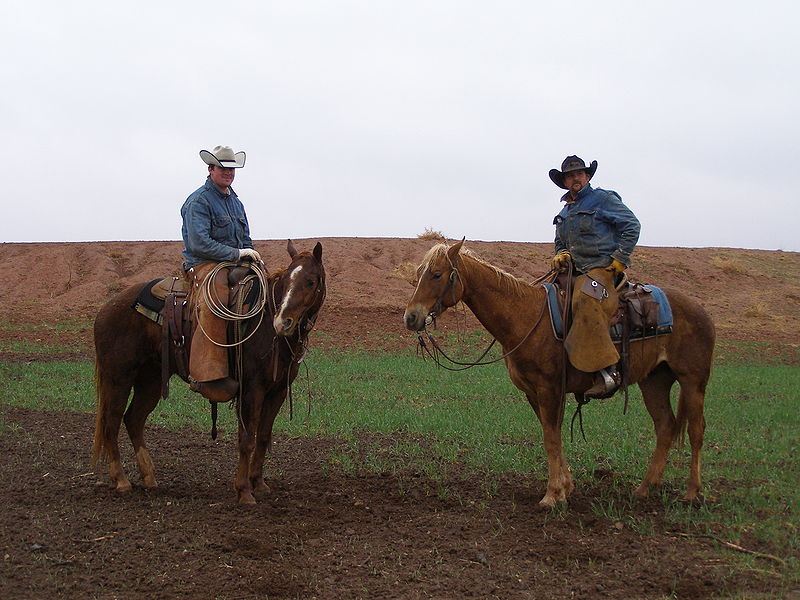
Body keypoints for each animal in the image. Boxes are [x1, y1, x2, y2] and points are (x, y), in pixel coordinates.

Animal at [92, 240, 326, 504]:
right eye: (286, 281)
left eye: (311, 281)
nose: (282, 322)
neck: (266, 326)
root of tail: (106, 309)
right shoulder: (252, 389)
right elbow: (247, 439)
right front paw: (244, 491)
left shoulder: (277, 391)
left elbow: (264, 437)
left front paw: (259, 485)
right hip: (118, 378)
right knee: (111, 422)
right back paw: (121, 481)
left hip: (150, 379)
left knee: (133, 419)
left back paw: (149, 478)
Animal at [404, 240, 715, 508]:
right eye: (419, 274)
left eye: (437, 274)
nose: (411, 317)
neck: (527, 317)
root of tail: (699, 309)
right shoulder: (533, 392)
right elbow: (552, 433)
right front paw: (566, 487)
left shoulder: (549, 388)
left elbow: (551, 437)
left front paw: (552, 495)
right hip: (655, 380)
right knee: (666, 427)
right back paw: (644, 489)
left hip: (693, 381)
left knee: (696, 430)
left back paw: (692, 493)